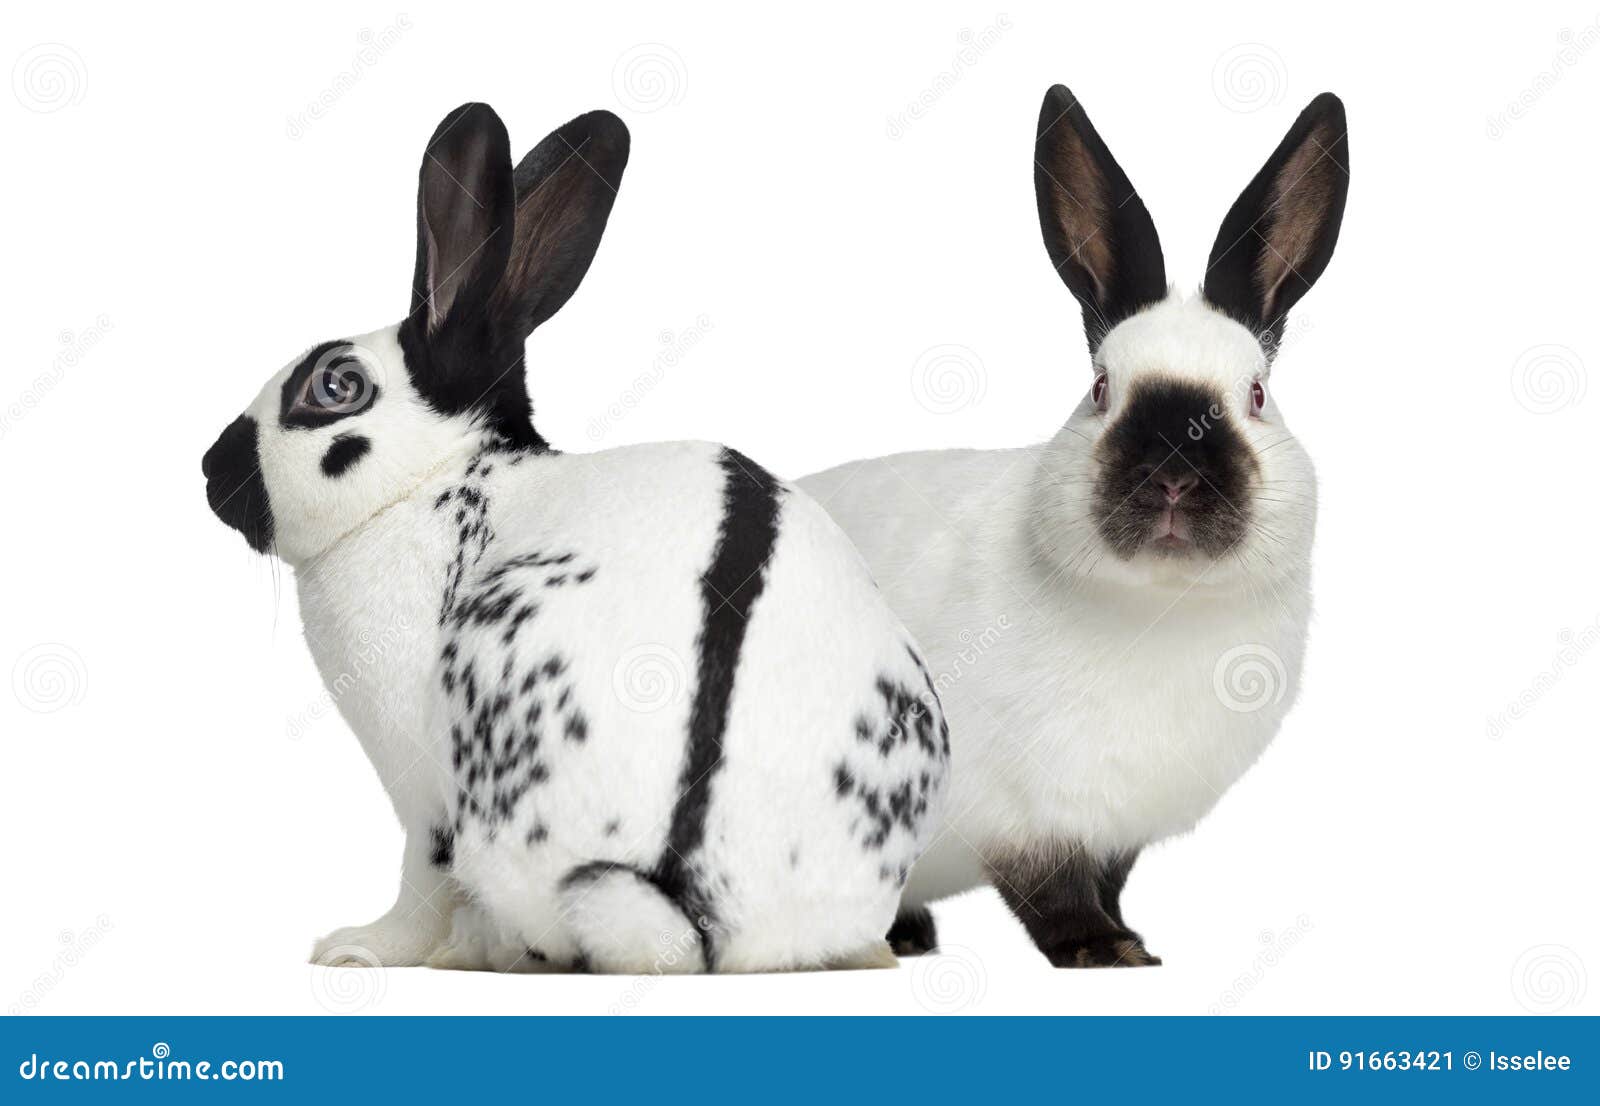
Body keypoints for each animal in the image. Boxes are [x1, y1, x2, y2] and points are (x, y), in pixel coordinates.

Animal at [200, 102, 949, 974]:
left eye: (336, 385)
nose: (211, 472)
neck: (436, 479)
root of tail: (689, 909)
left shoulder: (421, 793)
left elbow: (418, 887)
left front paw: (356, 948)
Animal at [800, 86, 1348, 967]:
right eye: (1100, 390)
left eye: (1256, 395)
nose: (1172, 475)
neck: (1160, 608)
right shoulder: (1022, 815)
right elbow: (1048, 893)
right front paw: (1106, 953)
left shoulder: (1114, 827)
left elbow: (1107, 880)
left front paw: (1131, 938)